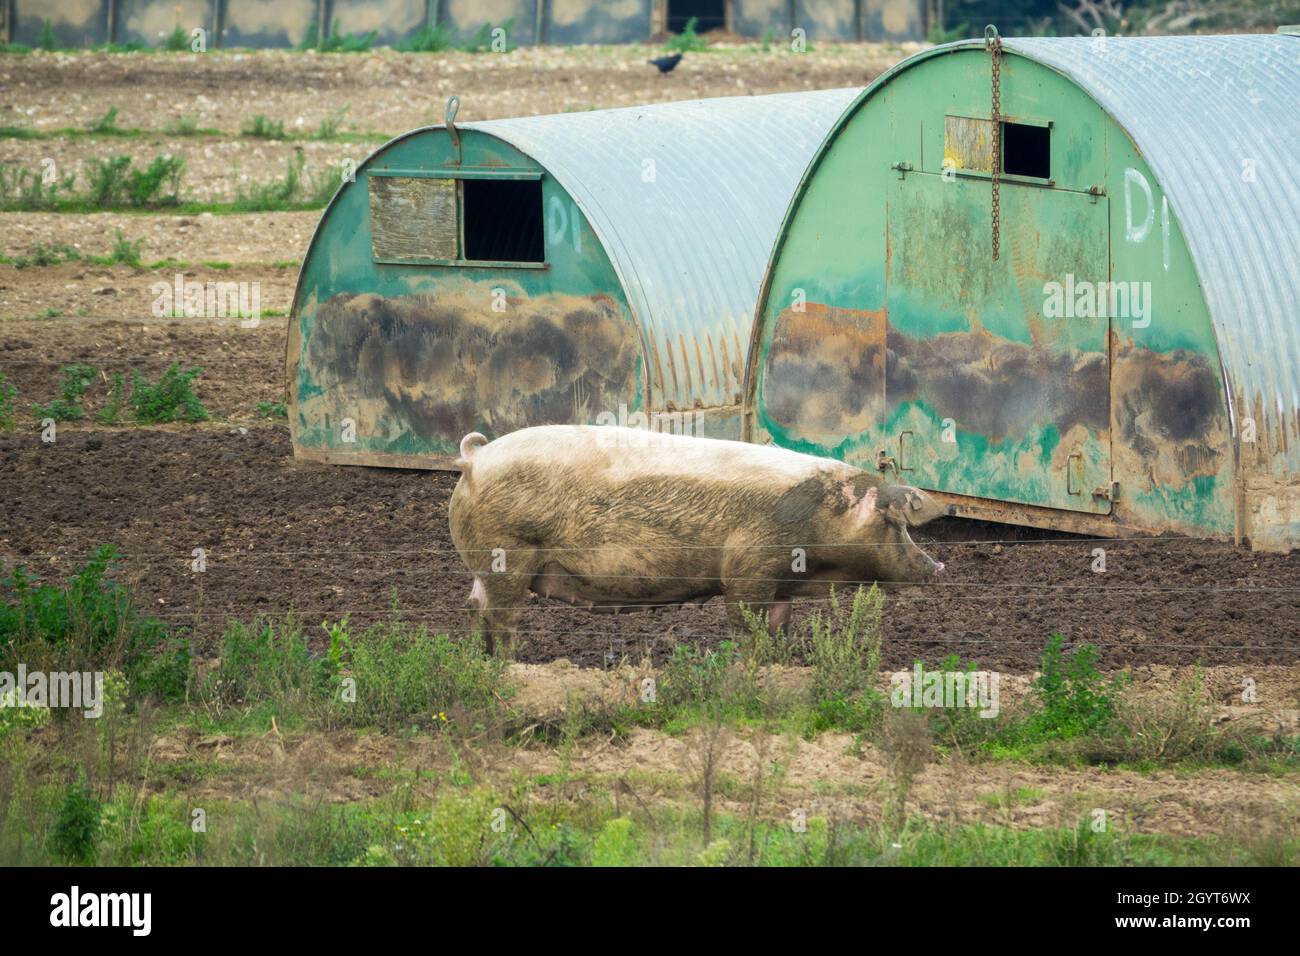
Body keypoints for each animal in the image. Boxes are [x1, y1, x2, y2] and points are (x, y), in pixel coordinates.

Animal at [449, 425, 949, 651]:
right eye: (896, 524)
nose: (939, 567)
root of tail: (476, 458)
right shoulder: (749, 568)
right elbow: (745, 621)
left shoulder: (780, 581)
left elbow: (779, 623)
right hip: (508, 555)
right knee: (502, 616)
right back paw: (513, 662)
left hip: (485, 564)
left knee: (473, 607)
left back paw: (480, 659)